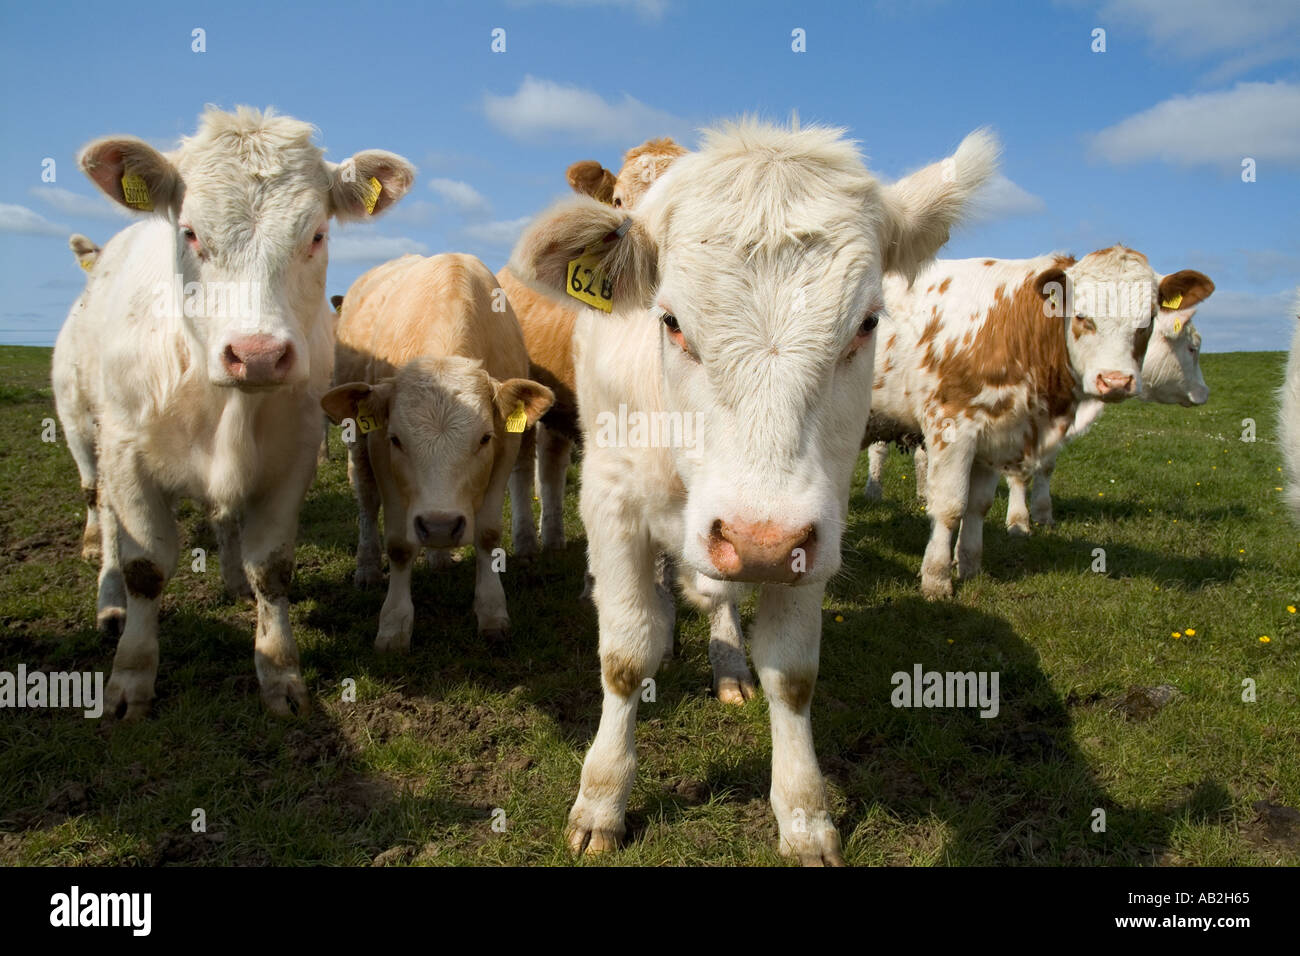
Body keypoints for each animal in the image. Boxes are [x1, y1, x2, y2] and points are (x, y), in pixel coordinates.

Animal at [50, 106, 415, 720]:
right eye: (190, 232)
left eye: (316, 235)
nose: (258, 354)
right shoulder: (126, 457)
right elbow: (145, 567)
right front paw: (130, 679)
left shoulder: (292, 458)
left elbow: (271, 567)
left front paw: (279, 671)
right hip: (82, 429)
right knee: (101, 510)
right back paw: (109, 598)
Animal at [322, 253, 554, 653]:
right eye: (398, 440)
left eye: (484, 438)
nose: (440, 526)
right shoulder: (379, 447)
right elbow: (399, 544)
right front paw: (393, 624)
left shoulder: (507, 447)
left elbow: (488, 534)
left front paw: (492, 612)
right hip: (356, 441)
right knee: (366, 499)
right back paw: (368, 566)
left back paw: (440, 556)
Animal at [510, 119, 999, 864]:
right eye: (671, 320)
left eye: (867, 323)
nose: (758, 540)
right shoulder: (612, 502)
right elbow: (623, 655)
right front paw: (601, 800)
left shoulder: (813, 526)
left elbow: (790, 672)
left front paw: (803, 814)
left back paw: (725, 661)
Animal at [864, 248, 1213, 599]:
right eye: (1082, 316)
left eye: (1148, 320)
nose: (1115, 381)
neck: (1012, 327)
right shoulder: (952, 428)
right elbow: (951, 507)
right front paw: (937, 578)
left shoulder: (996, 436)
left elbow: (978, 505)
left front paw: (970, 566)